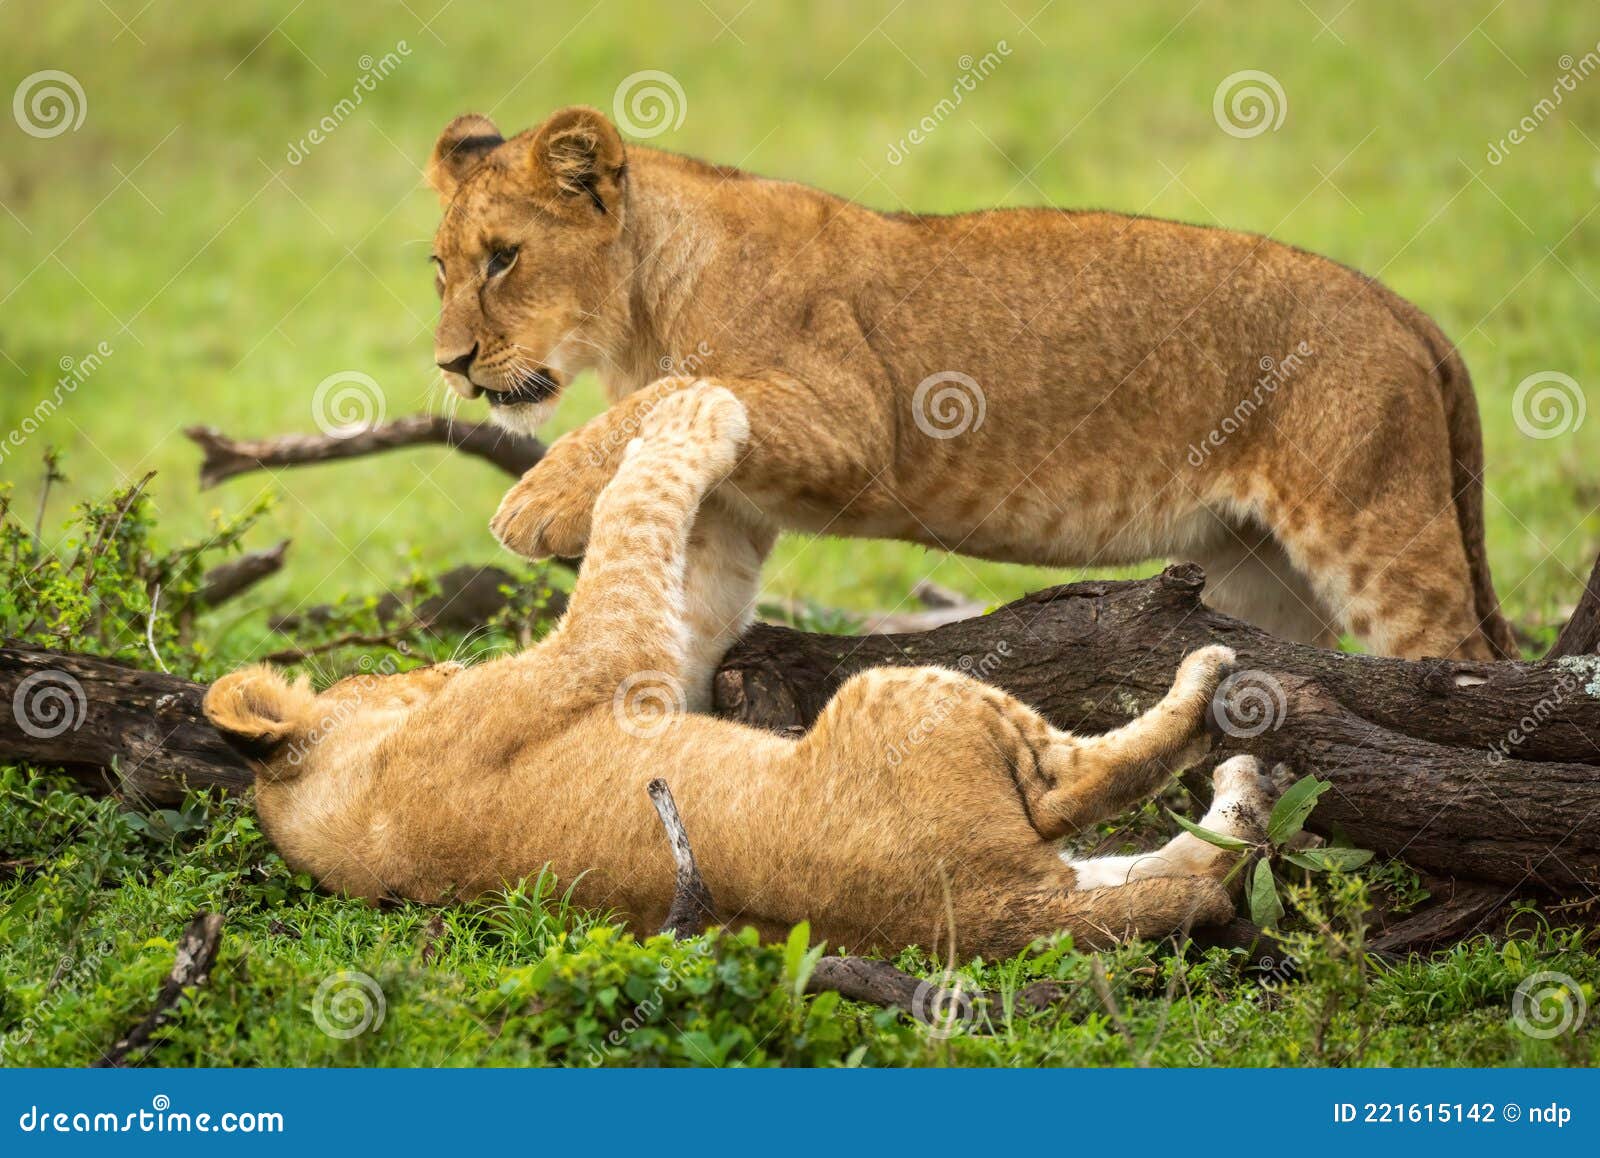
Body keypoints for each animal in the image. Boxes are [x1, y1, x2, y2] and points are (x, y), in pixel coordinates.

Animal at [204, 387, 1272, 957]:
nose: (434, 665)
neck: (351, 804)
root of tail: (987, 909)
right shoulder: (601, 658)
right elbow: (634, 513)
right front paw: (699, 410)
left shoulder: (659, 676)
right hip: (902, 700)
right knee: (1074, 791)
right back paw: (1210, 695)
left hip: (1039, 869)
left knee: (1163, 874)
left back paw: (1243, 794)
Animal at [424, 105, 1516, 662]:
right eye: (440, 268)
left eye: (503, 259)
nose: (450, 364)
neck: (640, 309)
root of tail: (1400, 306)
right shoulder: (734, 508)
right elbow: (682, 615)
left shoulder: (849, 426)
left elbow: (673, 396)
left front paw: (537, 504)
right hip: (1259, 570)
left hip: (1374, 529)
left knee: (1453, 663)